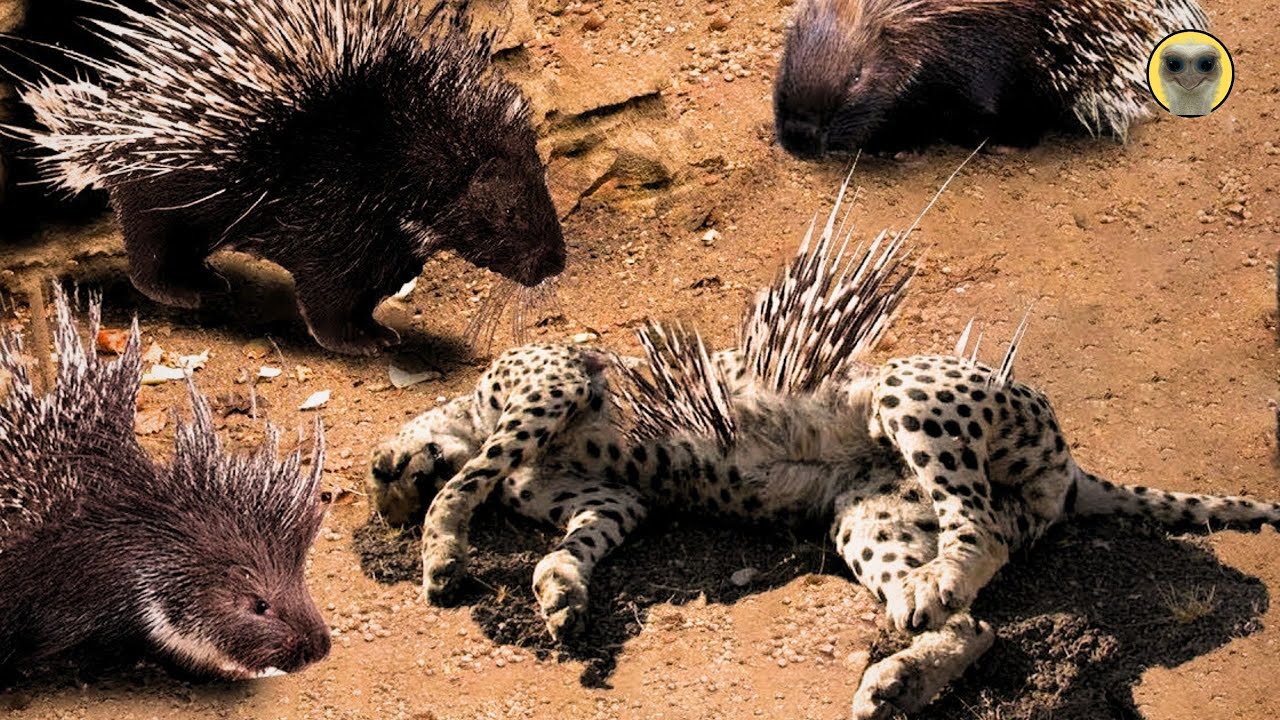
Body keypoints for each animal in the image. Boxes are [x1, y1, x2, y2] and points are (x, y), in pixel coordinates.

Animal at [367, 184, 1280, 719]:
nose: (380, 483)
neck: (464, 409)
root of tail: (1074, 470)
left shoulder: (549, 385)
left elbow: (469, 481)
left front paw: (440, 549)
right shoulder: (611, 498)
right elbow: (571, 541)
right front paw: (560, 592)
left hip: (912, 393)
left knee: (976, 530)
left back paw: (930, 609)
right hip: (869, 519)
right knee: (976, 620)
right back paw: (901, 677)